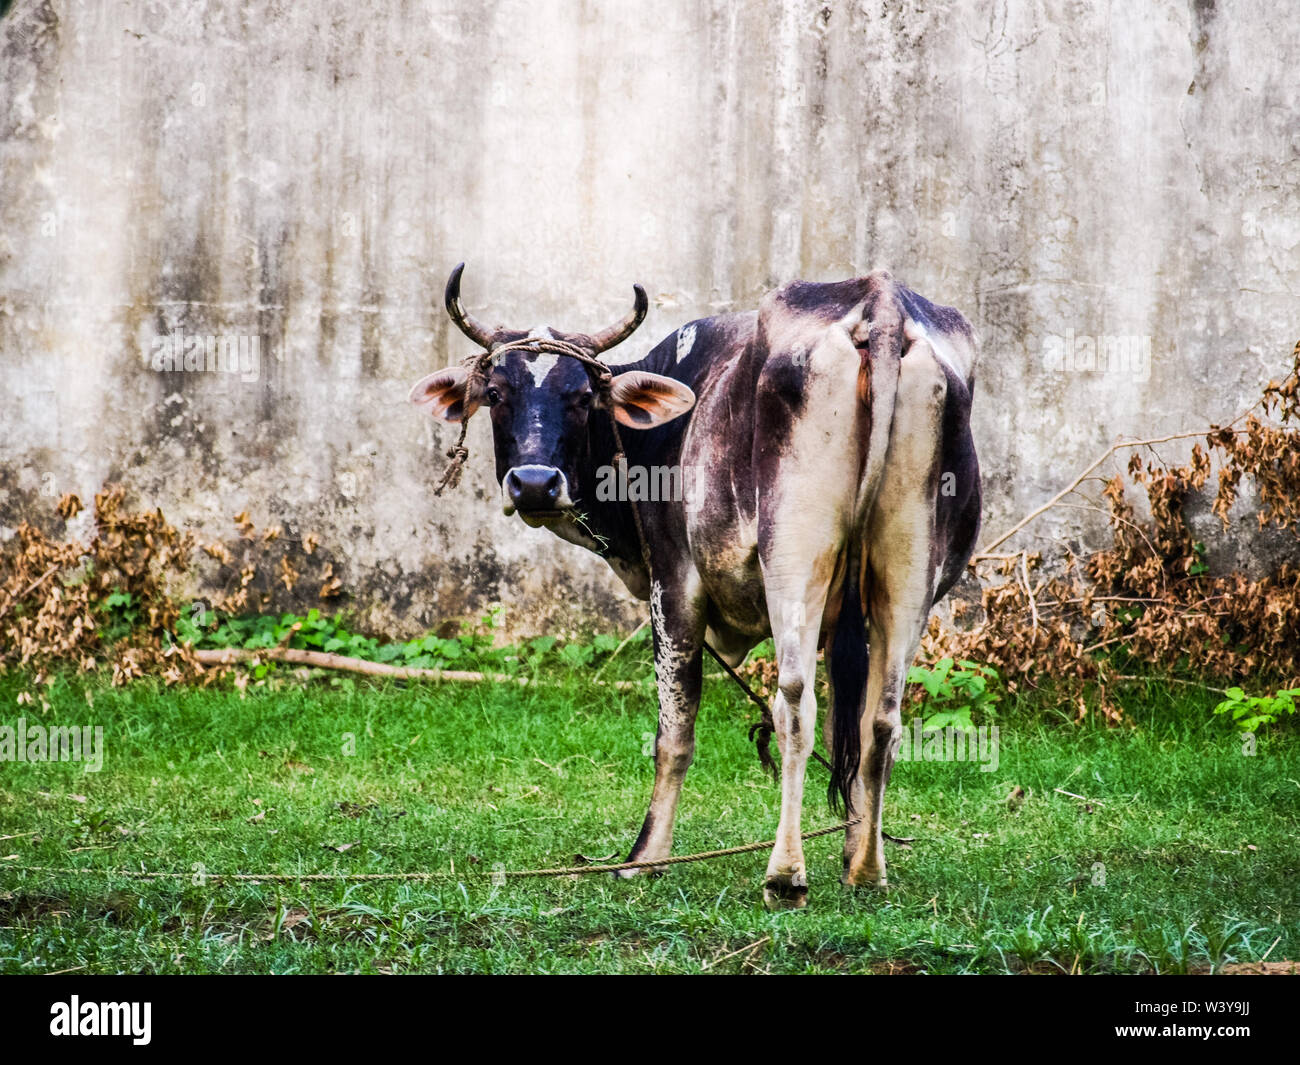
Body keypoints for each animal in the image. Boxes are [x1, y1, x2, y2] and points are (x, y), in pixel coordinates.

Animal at [410, 264, 981, 908]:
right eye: (496, 393)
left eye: (582, 396)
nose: (534, 484)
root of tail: (880, 303)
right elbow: (852, 726)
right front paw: (851, 849)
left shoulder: (675, 580)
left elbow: (674, 731)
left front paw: (644, 858)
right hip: (908, 576)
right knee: (881, 721)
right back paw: (866, 870)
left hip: (794, 562)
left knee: (794, 708)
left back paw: (785, 874)